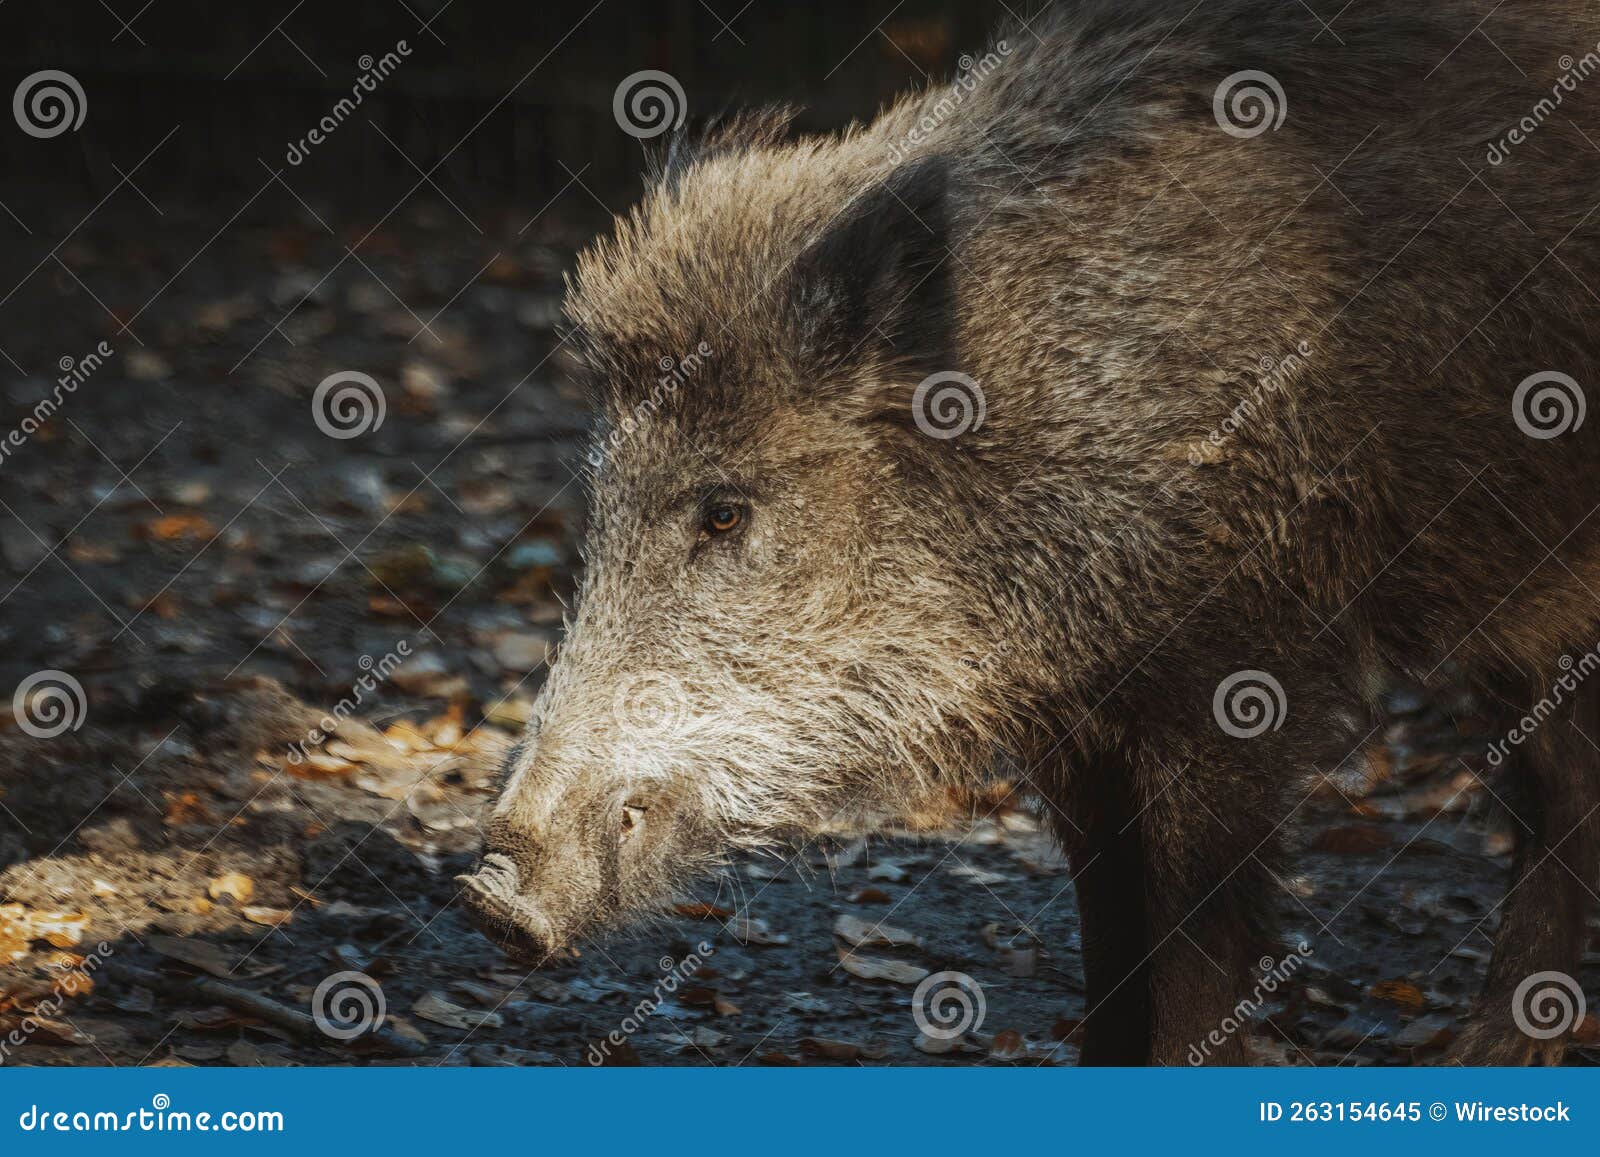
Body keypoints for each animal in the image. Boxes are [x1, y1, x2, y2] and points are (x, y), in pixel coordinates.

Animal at [461, 0, 1600, 1065]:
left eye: (724, 509)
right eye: (601, 501)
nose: (488, 896)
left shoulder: (1239, 665)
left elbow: (1193, 931)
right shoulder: (1074, 715)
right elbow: (1107, 911)